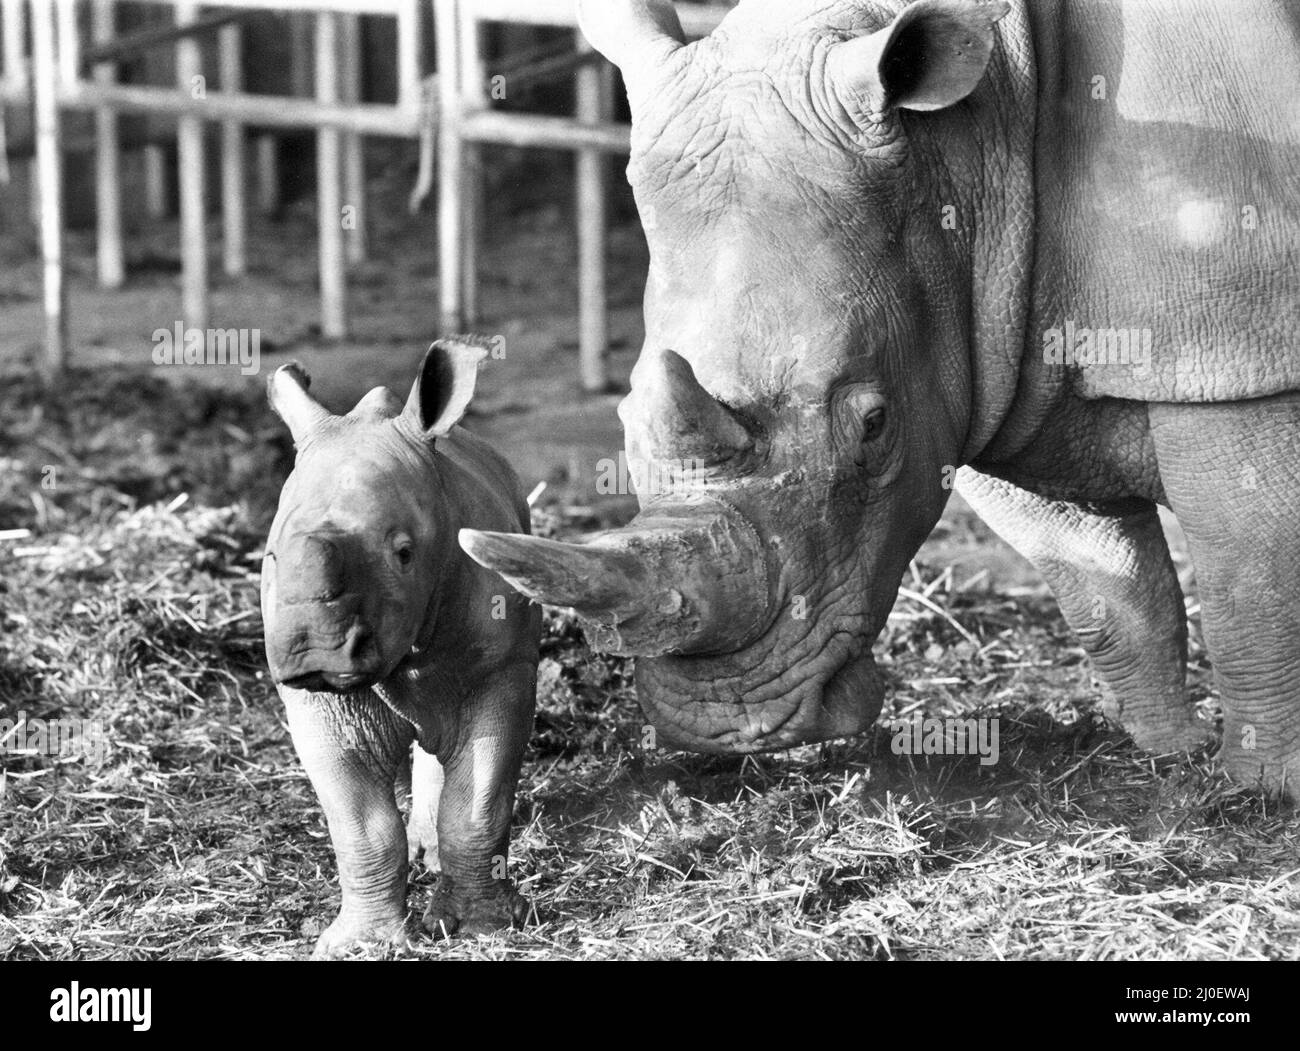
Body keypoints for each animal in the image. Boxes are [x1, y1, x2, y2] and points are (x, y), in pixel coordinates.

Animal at [262, 343, 541, 957]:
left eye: (404, 555)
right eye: (269, 558)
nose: (313, 649)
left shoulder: (502, 670)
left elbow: (479, 800)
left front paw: (484, 929)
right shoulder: (317, 701)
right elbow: (361, 826)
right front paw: (360, 944)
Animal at [461, 0, 1300, 796]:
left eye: (873, 424)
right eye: (625, 417)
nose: (726, 723)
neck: (978, 127)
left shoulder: (1236, 354)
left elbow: (1251, 582)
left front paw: (1261, 789)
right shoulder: (997, 357)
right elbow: (1104, 587)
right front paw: (1168, 754)